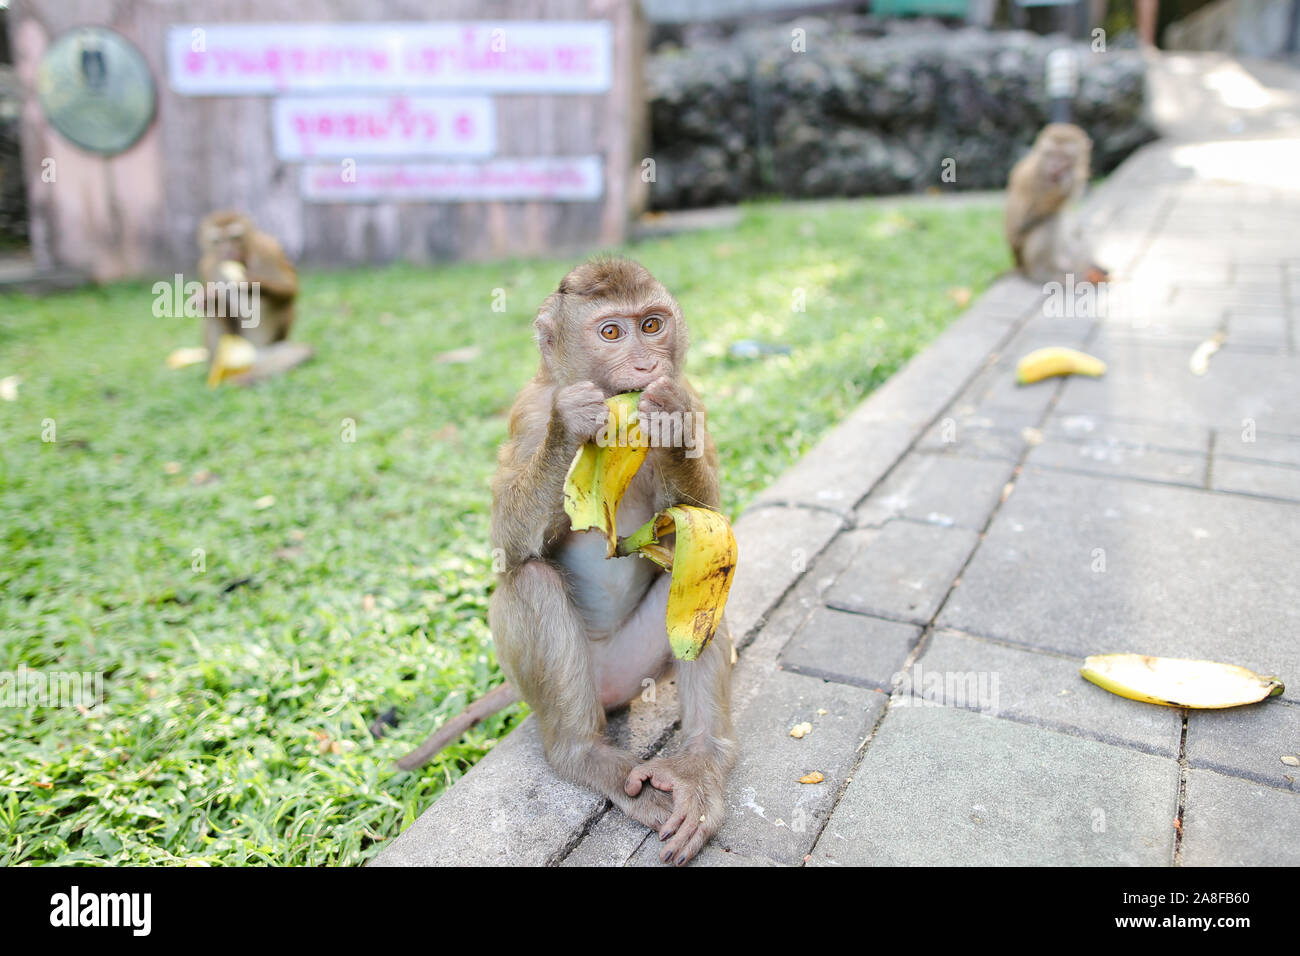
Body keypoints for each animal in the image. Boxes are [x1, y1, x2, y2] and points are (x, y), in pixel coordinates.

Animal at [483, 257, 736, 866]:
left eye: (652, 325)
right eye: (612, 332)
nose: (646, 364)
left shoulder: (692, 393)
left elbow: (707, 515)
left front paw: (671, 426)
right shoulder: (527, 414)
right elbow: (508, 549)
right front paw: (569, 425)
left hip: (640, 662)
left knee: (698, 573)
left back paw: (700, 764)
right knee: (530, 580)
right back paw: (585, 756)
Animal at [1005, 123, 1107, 284]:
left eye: (1064, 157)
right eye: (1050, 154)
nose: (1054, 166)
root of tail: (1019, 264)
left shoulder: (1078, 179)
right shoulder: (1029, 177)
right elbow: (1020, 225)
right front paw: (1064, 186)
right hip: (1027, 259)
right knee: (1051, 219)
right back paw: (1042, 273)